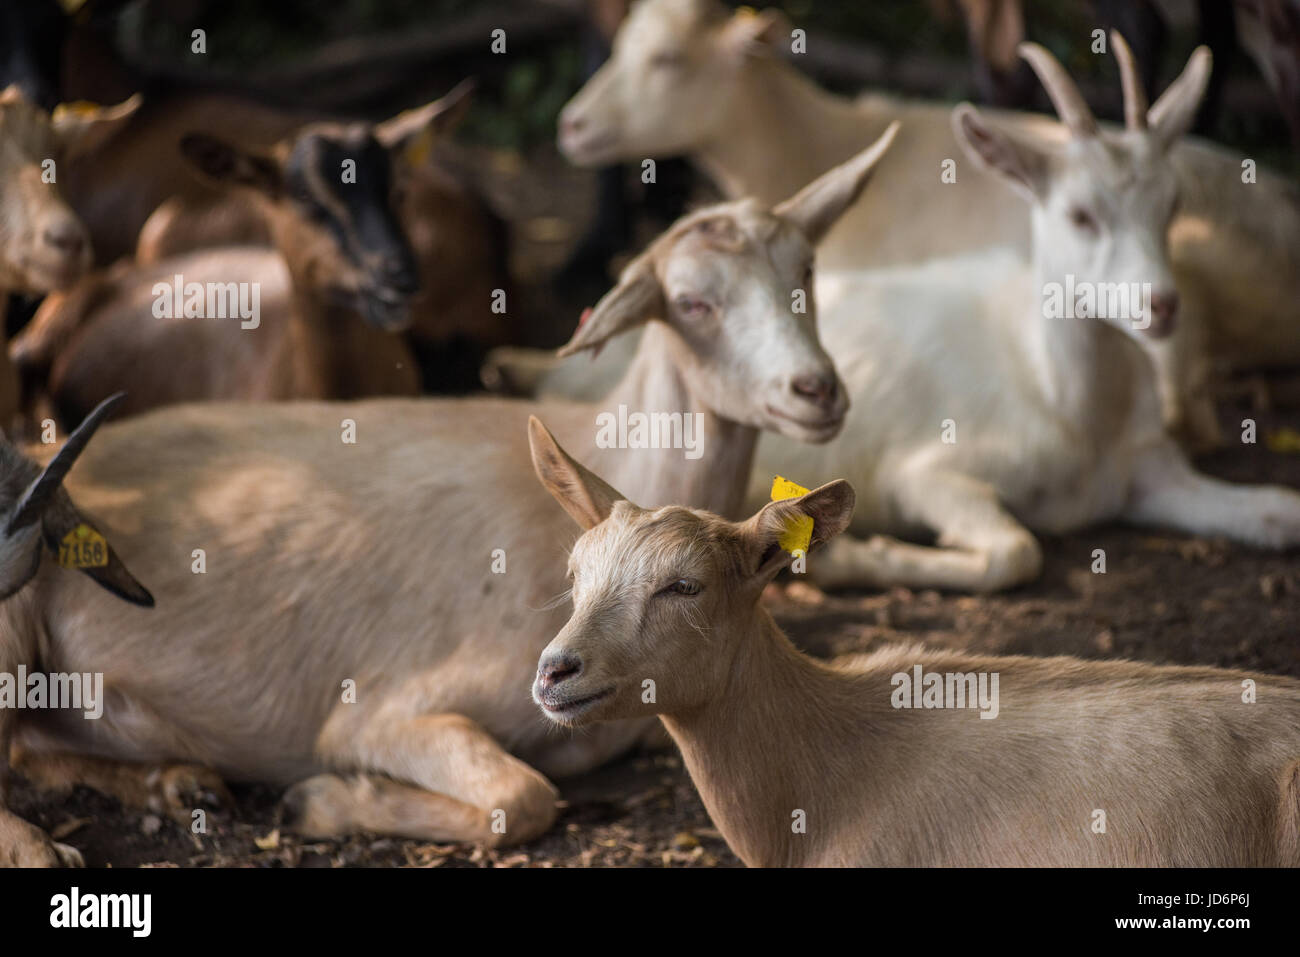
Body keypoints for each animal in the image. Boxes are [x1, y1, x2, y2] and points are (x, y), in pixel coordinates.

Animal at [0, 133, 894, 865]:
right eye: (693, 302)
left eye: (807, 273)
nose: (816, 390)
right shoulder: (388, 709)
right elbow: (520, 798)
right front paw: (323, 798)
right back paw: (49, 843)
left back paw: (174, 779)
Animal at [745, 38, 1300, 594]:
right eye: (1080, 214)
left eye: (1172, 206)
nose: (1161, 305)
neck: (1068, 407)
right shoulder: (925, 473)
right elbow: (1017, 552)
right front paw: (843, 559)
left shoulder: (1152, 475)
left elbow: (1280, 509)